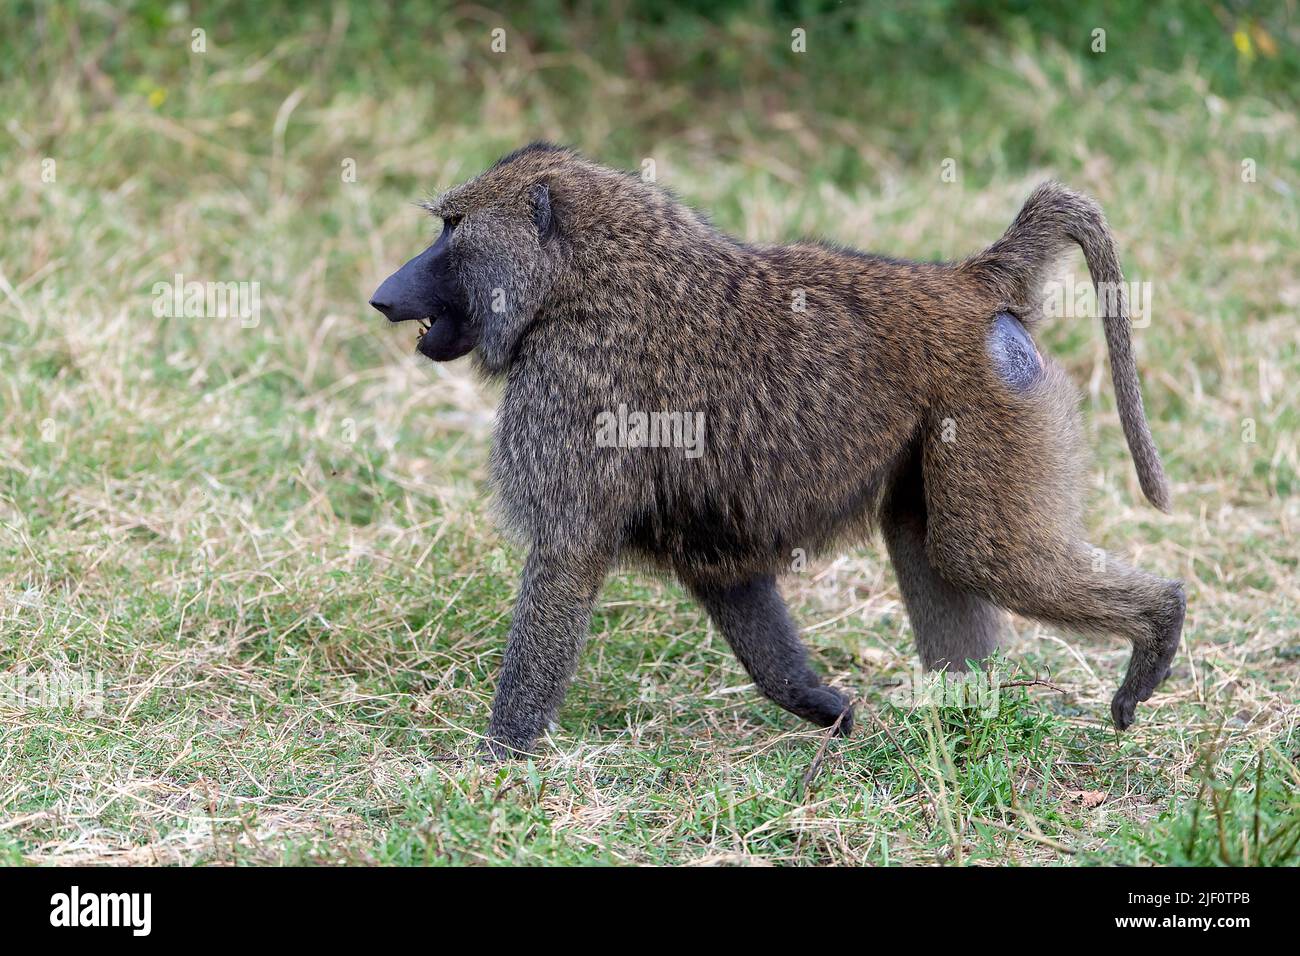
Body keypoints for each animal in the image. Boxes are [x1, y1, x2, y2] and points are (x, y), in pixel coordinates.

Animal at [369, 143, 1185, 758]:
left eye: (451, 228)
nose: (382, 295)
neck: (579, 278)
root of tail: (967, 283)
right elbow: (724, 573)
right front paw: (822, 704)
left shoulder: (572, 386)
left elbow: (567, 555)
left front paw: (497, 756)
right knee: (935, 547)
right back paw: (962, 727)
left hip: (988, 408)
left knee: (980, 553)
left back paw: (1158, 626)